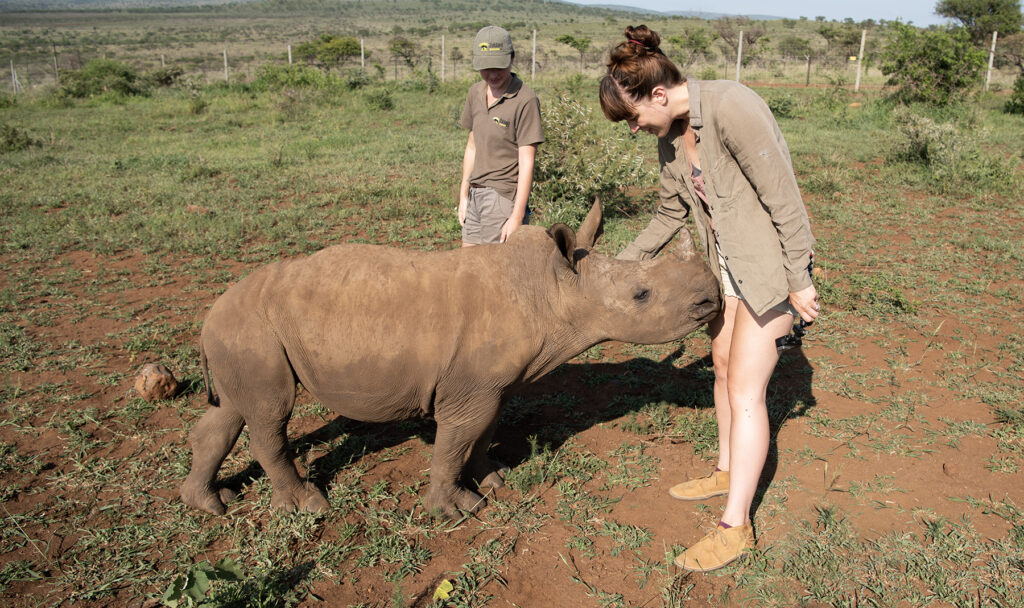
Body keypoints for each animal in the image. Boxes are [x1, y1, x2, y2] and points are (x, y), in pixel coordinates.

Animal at [181, 201, 720, 517]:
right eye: (641, 295)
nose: (712, 299)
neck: (552, 287)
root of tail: (208, 317)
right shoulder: (469, 389)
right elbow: (453, 443)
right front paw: (456, 510)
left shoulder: (492, 385)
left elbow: (480, 436)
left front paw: (495, 479)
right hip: (253, 331)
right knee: (270, 413)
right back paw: (308, 506)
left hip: (241, 333)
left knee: (232, 411)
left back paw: (211, 504)